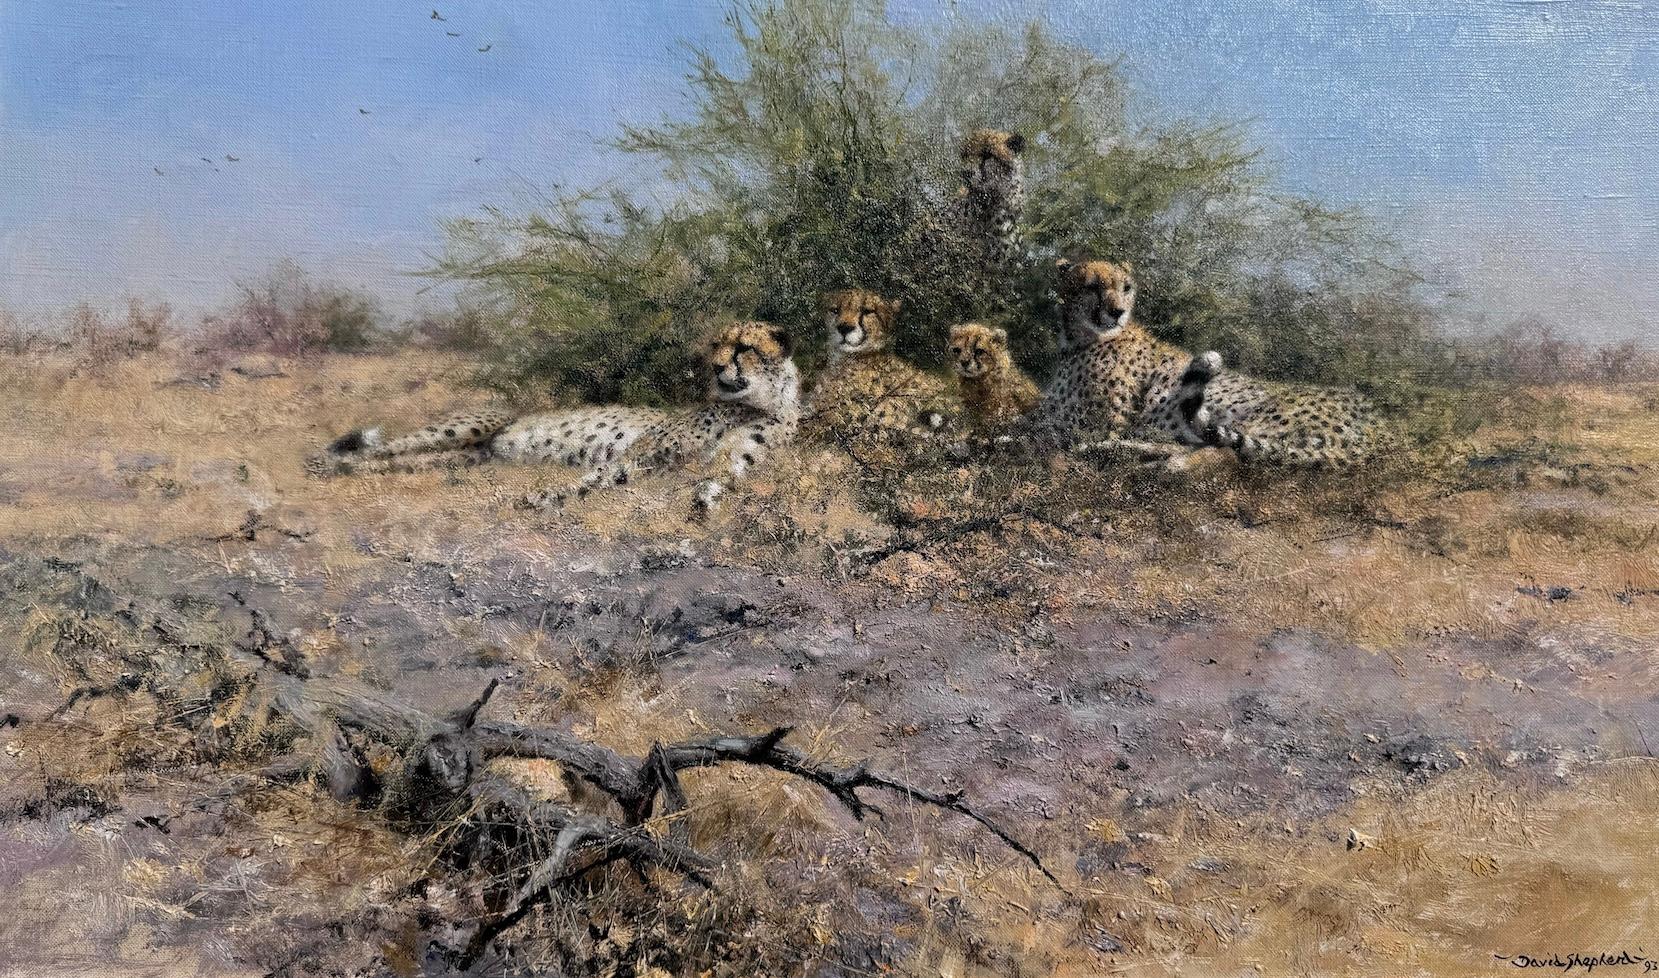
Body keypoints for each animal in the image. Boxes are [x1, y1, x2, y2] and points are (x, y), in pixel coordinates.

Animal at [310, 320, 801, 512]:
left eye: (743, 347)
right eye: (716, 345)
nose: (715, 367)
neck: (760, 404)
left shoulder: (731, 462)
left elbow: (720, 476)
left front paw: (706, 501)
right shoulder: (645, 452)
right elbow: (596, 476)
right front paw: (545, 497)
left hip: (462, 456)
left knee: (403, 462)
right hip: (461, 428)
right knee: (377, 450)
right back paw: (322, 463)